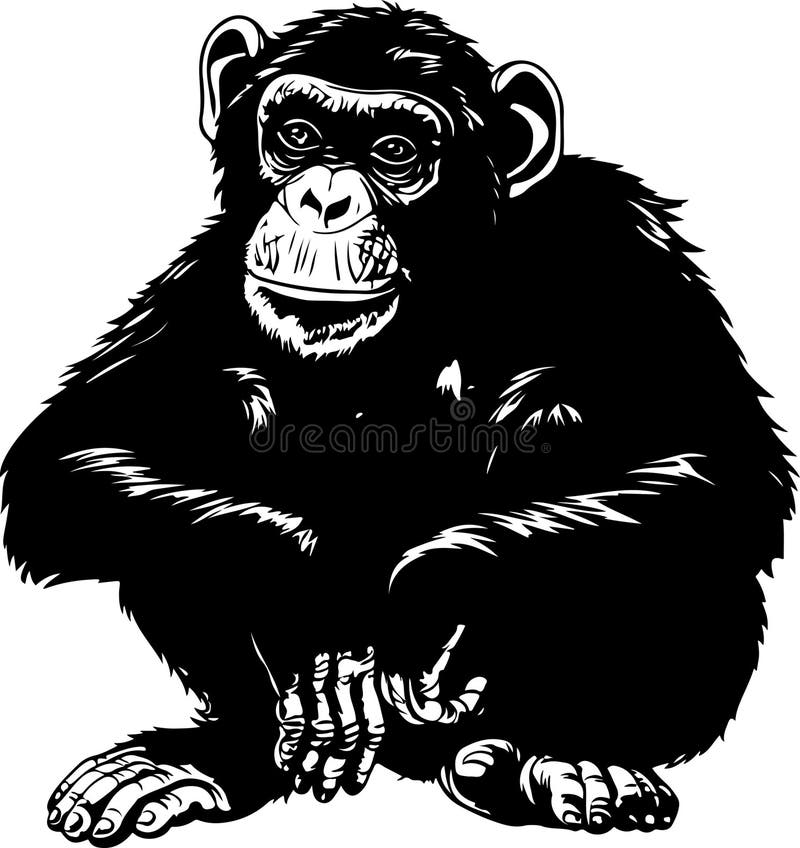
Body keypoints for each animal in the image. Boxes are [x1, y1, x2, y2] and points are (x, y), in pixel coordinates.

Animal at [1, 5, 793, 843]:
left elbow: (715, 462)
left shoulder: (624, 240)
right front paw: (308, 593)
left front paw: (428, 596)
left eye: (394, 153)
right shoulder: (207, 272)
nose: (323, 201)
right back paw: (215, 759)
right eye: (298, 136)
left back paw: (566, 759)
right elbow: (75, 450)